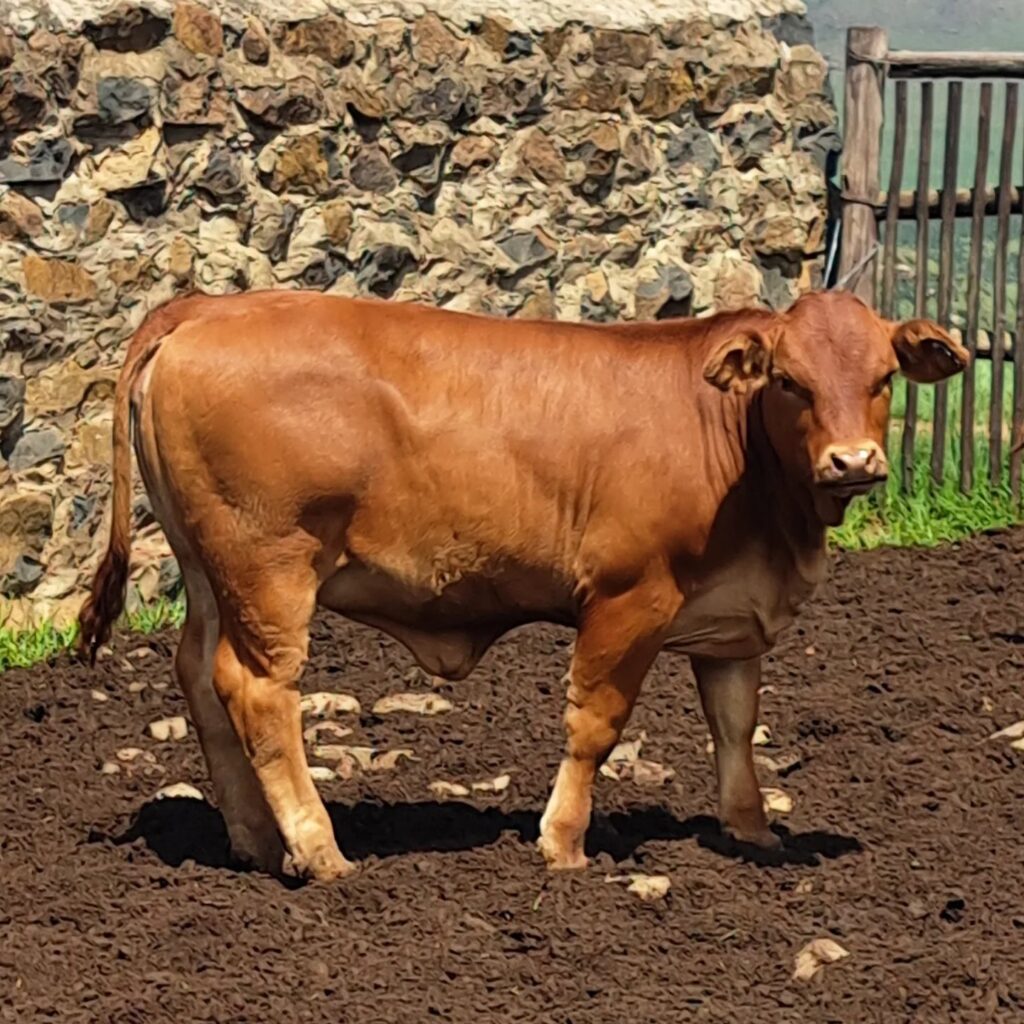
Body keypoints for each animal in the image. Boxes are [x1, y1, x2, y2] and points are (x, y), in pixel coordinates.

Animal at [79, 288, 967, 882]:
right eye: (789, 381)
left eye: (883, 376)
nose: (852, 461)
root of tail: (206, 307)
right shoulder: (628, 598)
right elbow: (596, 726)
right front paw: (564, 843)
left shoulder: (732, 617)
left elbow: (735, 726)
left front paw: (750, 834)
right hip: (269, 569)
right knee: (257, 690)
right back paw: (318, 848)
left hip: (210, 572)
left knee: (200, 677)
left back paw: (258, 842)